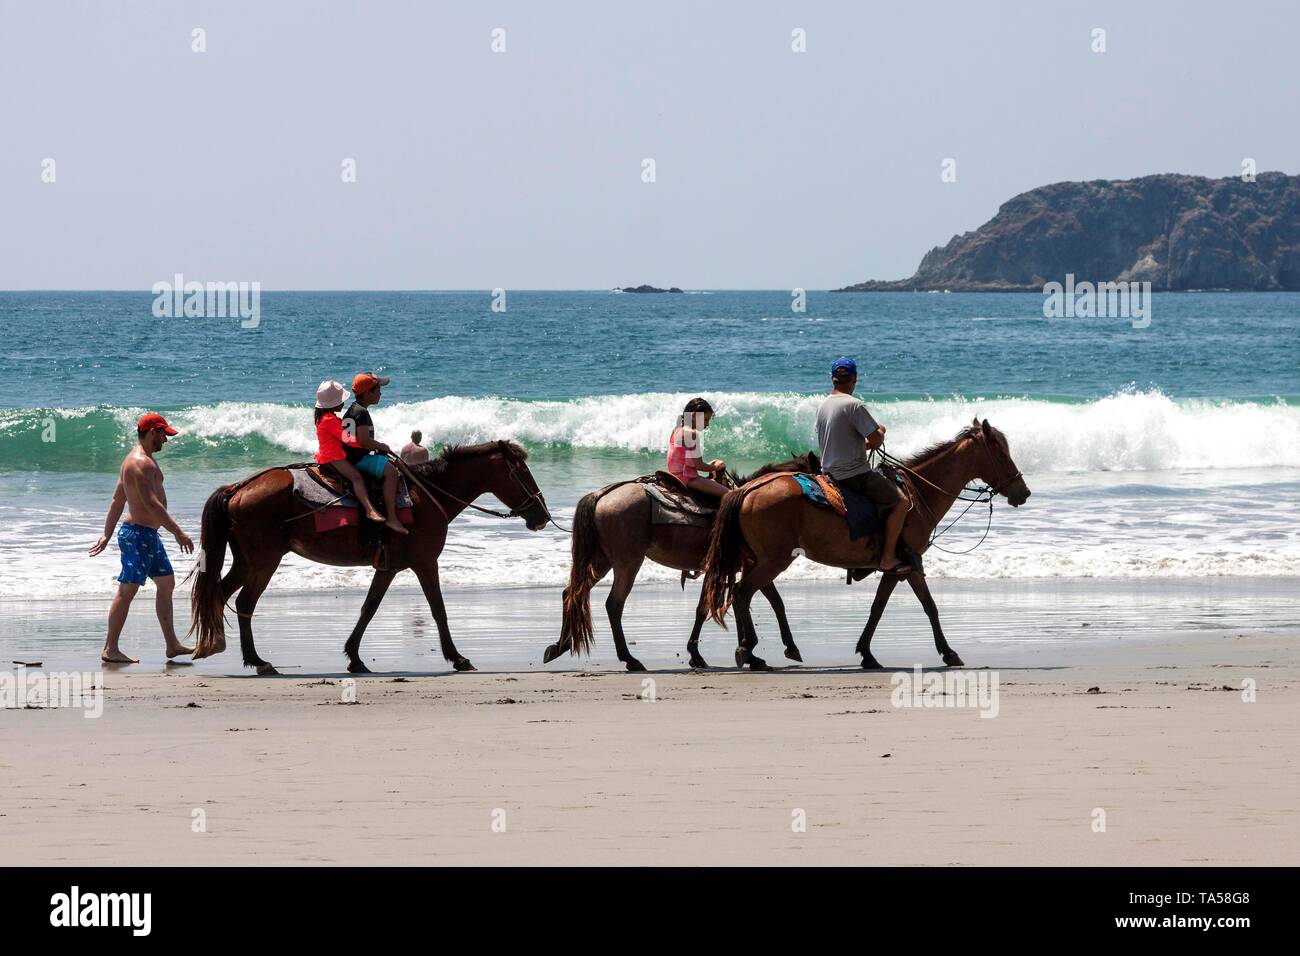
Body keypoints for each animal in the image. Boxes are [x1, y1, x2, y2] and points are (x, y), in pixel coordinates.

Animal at [188, 440, 550, 675]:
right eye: (521, 472)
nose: (542, 516)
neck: (424, 494)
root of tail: (237, 488)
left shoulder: (388, 567)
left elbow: (369, 608)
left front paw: (354, 657)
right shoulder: (424, 563)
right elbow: (438, 610)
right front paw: (457, 657)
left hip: (245, 562)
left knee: (219, 594)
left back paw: (214, 645)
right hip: (264, 562)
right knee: (245, 602)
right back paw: (257, 661)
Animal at [542, 452, 821, 672]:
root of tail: (601, 495)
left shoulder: (747, 566)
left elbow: (770, 602)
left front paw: (750, 655)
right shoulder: (742, 566)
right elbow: (716, 607)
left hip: (602, 561)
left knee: (572, 592)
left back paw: (559, 645)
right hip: (627, 562)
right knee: (614, 604)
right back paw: (630, 659)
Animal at [701, 419, 1031, 670]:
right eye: (1001, 455)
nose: (1024, 492)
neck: (919, 491)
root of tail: (745, 490)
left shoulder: (896, 568)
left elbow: (877, 608)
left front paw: (867, 654)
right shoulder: (910, 563)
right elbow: (929, 606)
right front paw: (949, 653)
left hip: (758, 559)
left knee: (745, 594)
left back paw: (755, 653)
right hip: (773, 560)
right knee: (742, 593)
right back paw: (747, 650)